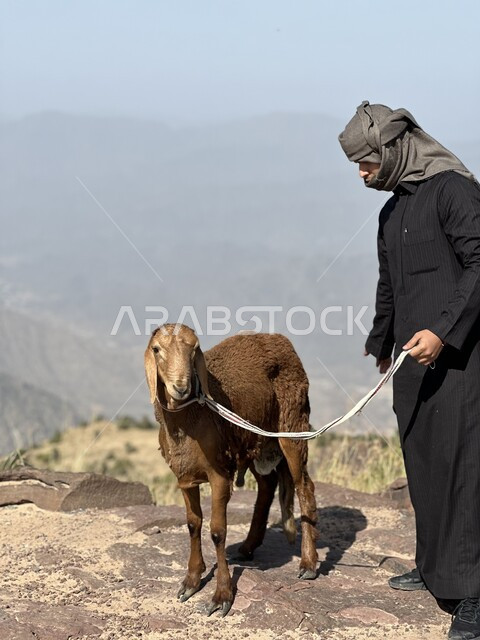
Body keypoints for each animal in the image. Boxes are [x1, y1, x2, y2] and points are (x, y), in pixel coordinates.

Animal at [144, 323, 318, 616]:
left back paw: (308, 564)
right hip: (256, 440)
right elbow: (192, 524)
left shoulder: (219, 475)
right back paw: (248, 547)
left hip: (292, 423)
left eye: (194, 349)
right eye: (157, 349)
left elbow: (217, 531)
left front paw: (221, 596)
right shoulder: (184, 478)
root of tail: (280, 340)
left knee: (304, 486)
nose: (181, 387)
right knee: (268, 485)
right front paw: (191, 582)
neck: (191, 419)